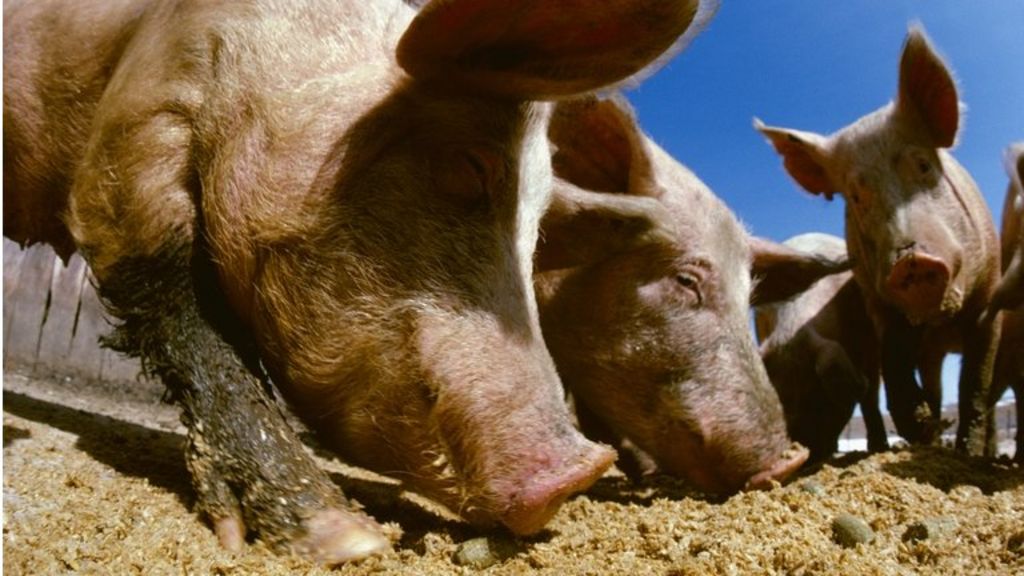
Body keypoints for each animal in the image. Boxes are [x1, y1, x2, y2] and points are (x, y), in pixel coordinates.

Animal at [4, 0, 708, 562]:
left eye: (537, 230)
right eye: (469, 168)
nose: (583, 469)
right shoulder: (135, 128)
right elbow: (177, 298)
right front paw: (349, 541)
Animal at [754, 233, 888, 461]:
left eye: (818, 398)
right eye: (780, 402)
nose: (806, 455)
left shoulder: (870, 343)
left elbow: (870, 396)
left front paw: (879, 448)